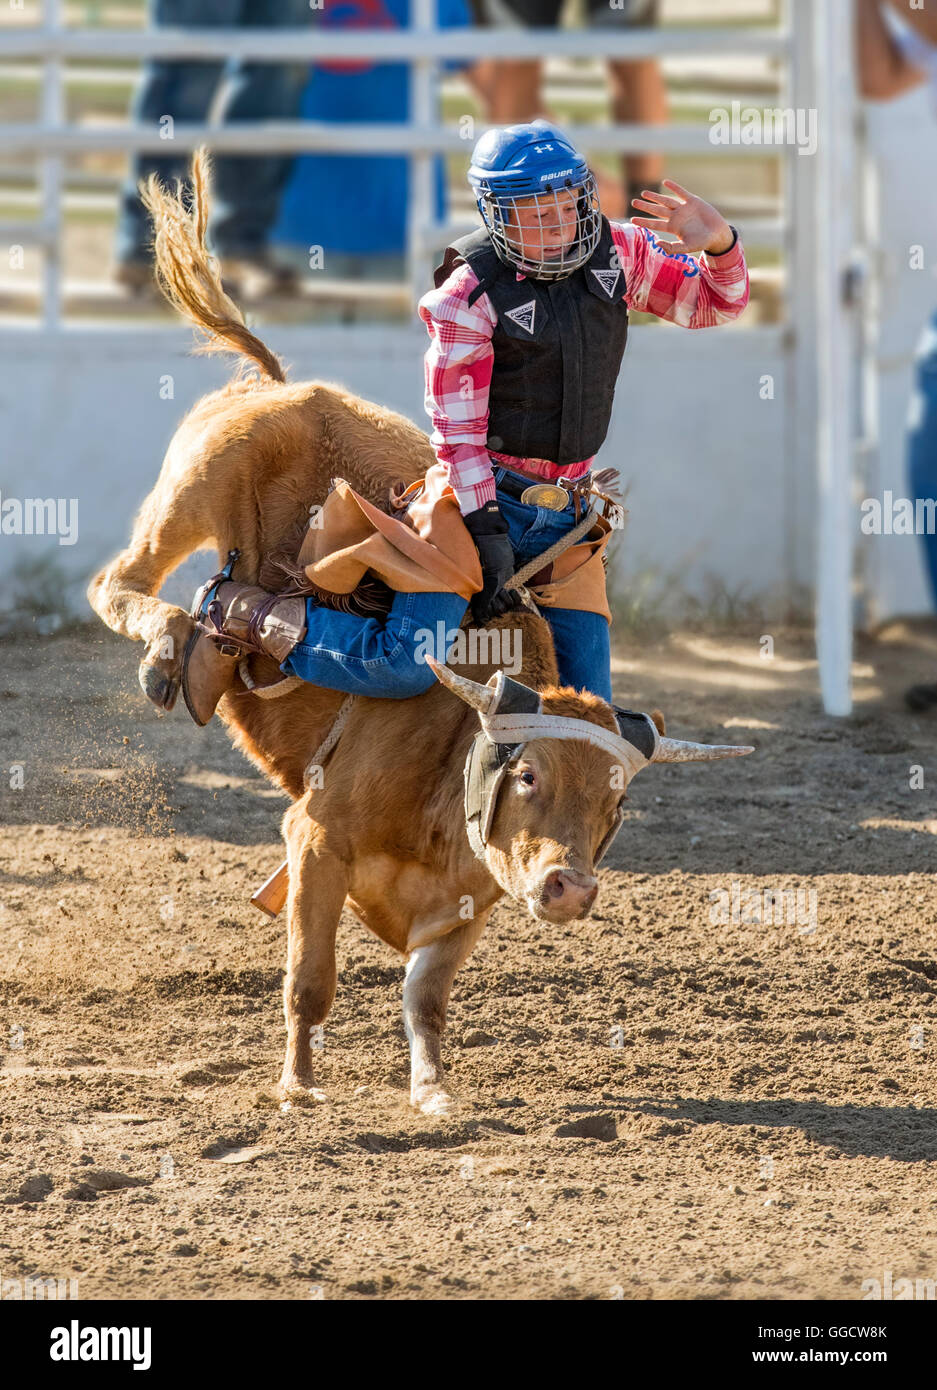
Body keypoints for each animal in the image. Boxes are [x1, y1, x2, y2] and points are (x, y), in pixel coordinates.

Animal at [87, 155, 752, 1114]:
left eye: (618, 799)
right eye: (526, 773)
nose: (569, 889)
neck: (446, 771)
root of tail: (283, 384)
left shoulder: (469, 903)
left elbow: (424, 998)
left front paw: (432, 1091)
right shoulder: (313, 844)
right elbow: (310, 982)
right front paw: (298, 1086)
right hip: (191, 488)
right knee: (125, 583)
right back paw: (182, 642)